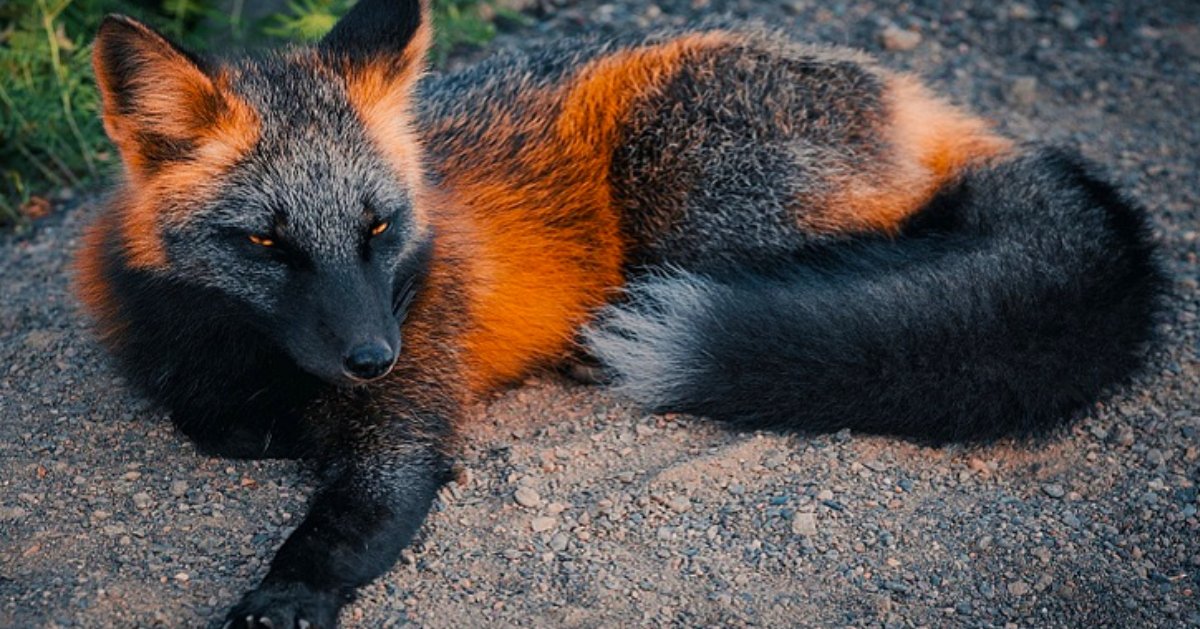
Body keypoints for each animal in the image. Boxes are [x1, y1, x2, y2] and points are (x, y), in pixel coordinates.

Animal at [74, 0, 1163, 626]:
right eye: (267, 244)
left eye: (379, 228)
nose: (373, 354)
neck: (248, 354)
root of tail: (905, 93)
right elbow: (207, 420)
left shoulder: (410, 416)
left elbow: (350, 518)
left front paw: (286, 594)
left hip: (693, 206)